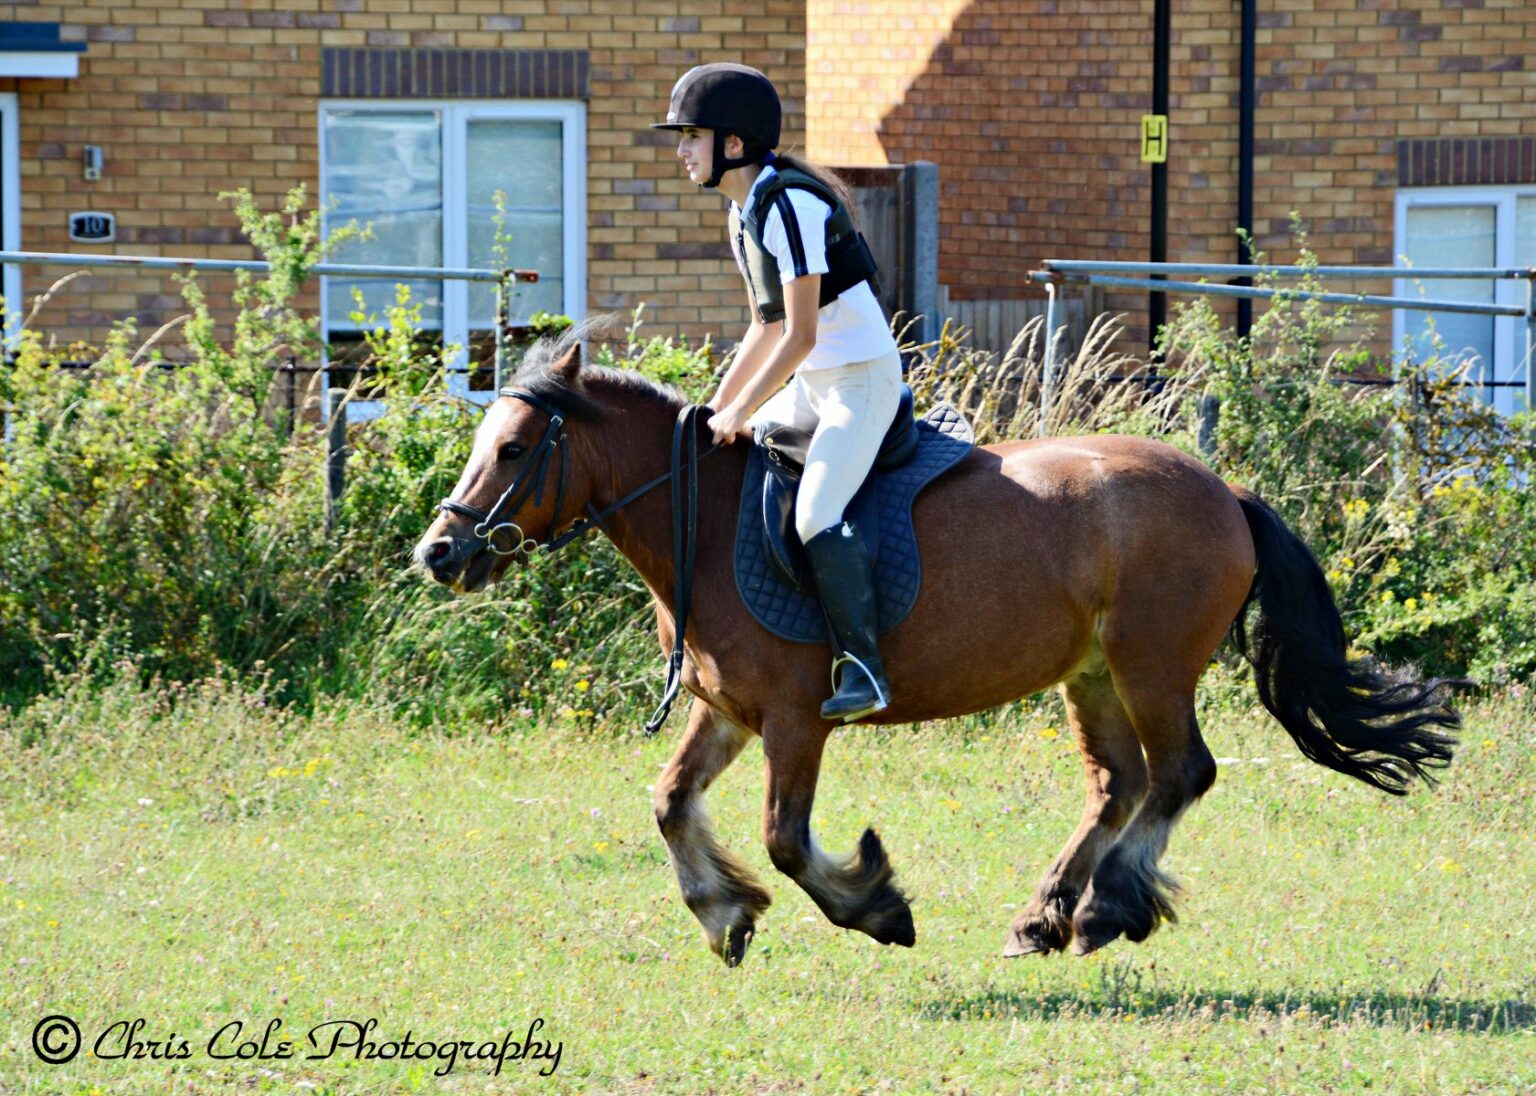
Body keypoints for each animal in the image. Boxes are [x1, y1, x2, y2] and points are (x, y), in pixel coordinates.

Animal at [414, 331, 1458, 967]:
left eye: (514, 451)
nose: (440, 554)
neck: (701, 523)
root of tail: (1224, 491)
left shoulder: (796, 720)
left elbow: (785, 837)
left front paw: (875, 906)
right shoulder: (730, 711)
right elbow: (671, 803)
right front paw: (724, 913)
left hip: (1151, 666)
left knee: (1179, 774)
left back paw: (1105, 908)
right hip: (1092, 677)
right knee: (1120, 783)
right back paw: (1048, 914)